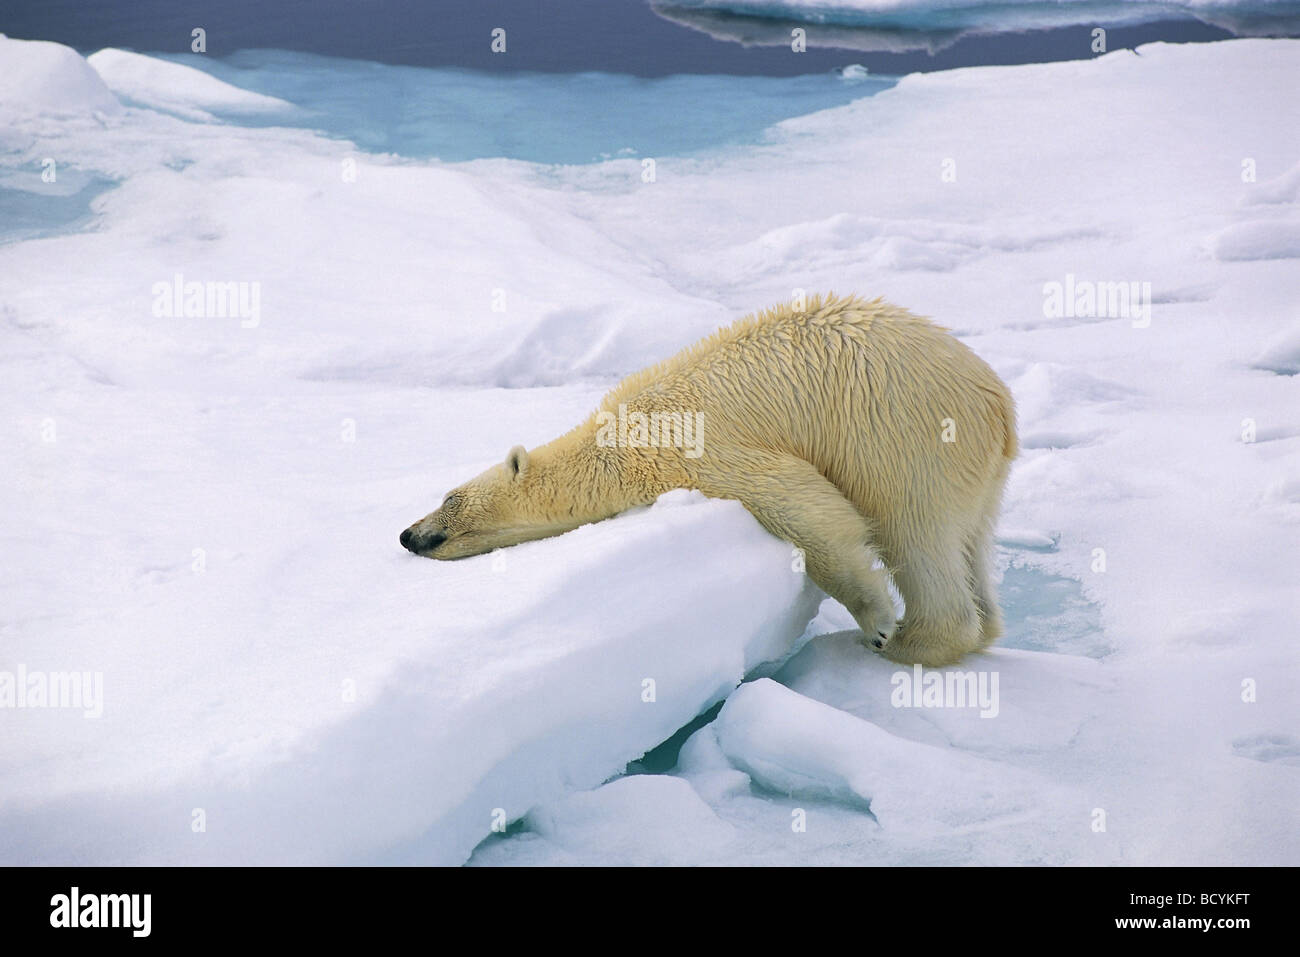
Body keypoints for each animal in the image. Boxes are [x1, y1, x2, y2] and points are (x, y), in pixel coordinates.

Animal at [401, 293, 1017, 666]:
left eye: (450, 505)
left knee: (914, 527)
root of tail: (999, 405)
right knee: (969, 537)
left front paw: (878, 622)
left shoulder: (700, 452)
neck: (620, 436)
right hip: (976, 470)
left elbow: (810, 510)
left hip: (902, 433)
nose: (409, 535)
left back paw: (914, 643)